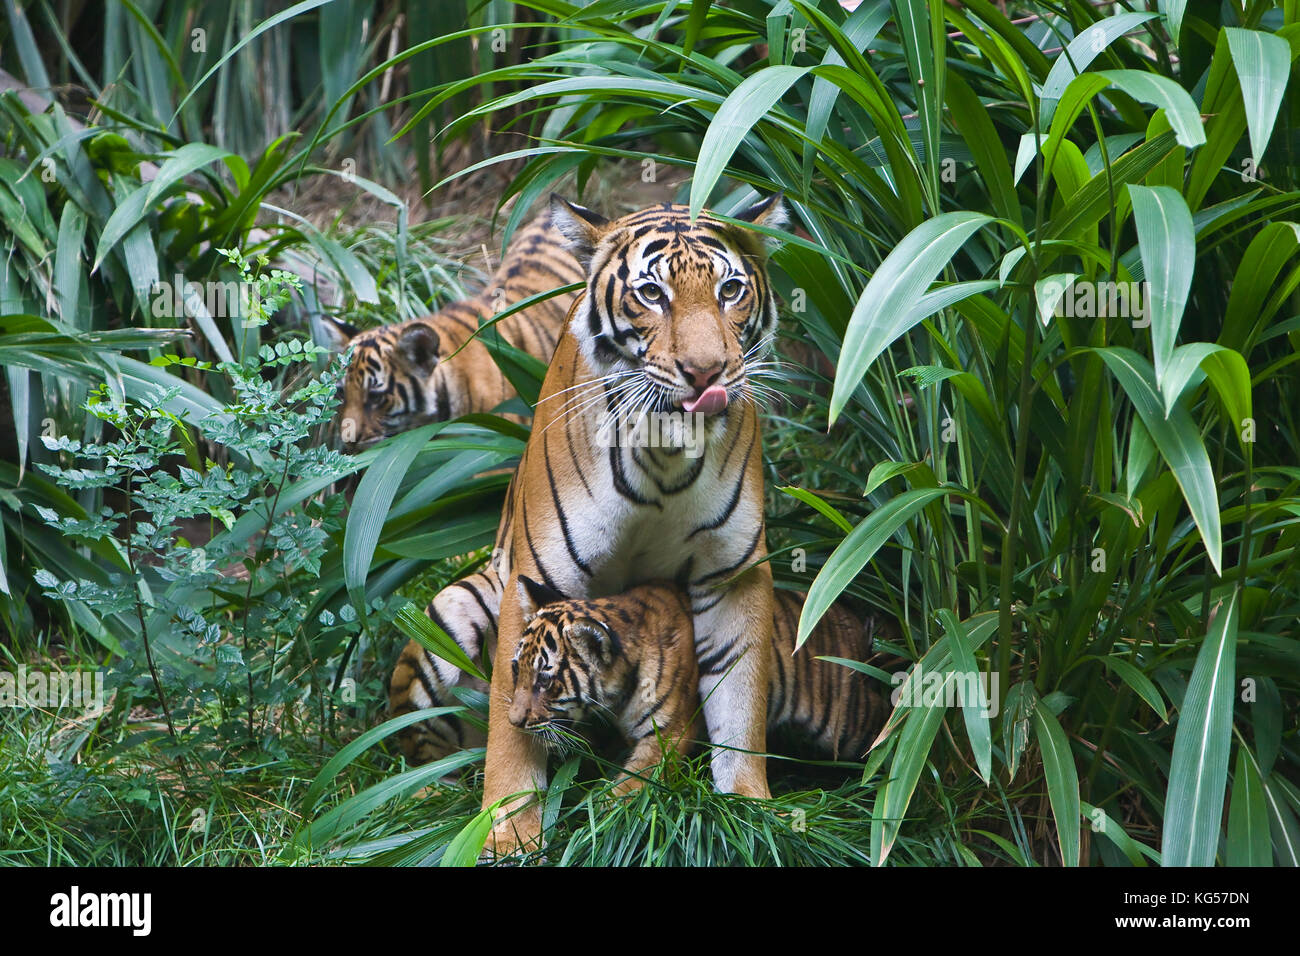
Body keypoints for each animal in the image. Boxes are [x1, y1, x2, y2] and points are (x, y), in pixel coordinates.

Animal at [478, 193, 790, 857]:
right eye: (651, 294)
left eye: (730, 289)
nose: (707, 373)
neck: (665, 450)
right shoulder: (535, 577)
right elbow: (509, 726)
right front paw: (507, 835)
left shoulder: (732, 575)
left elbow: (740, 703)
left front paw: (752, 813)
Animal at [506, 577, 892, 791]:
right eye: (515, 670)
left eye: (545, 679)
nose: (514, 722)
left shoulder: (670, 733)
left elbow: (631, 784)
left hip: (846, 721)